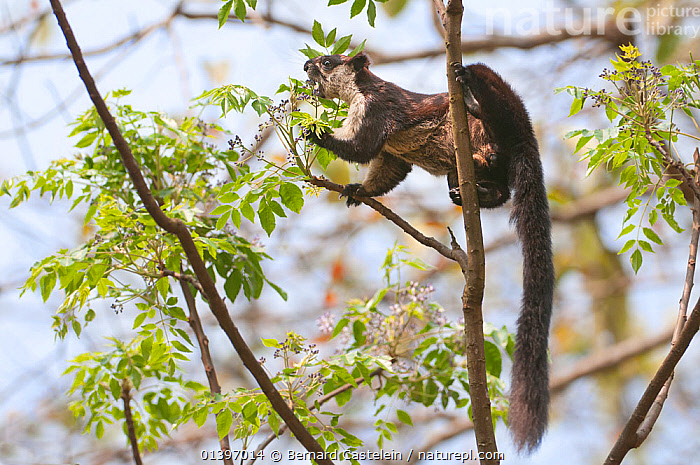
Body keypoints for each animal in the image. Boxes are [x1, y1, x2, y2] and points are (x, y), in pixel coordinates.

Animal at [304, 52, 554, 452]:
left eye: (328, 61)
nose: (305, 66)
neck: (359, 92)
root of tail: (527, 142)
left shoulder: (377, 110)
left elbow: (361, 148)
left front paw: (315, 132)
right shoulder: (391, 155)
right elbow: (388, 169)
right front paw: (357, 189)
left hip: (501, 109)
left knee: (491, 110)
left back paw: (468, 95)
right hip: (462, 171)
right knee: (500, 191)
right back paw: (472, 190)